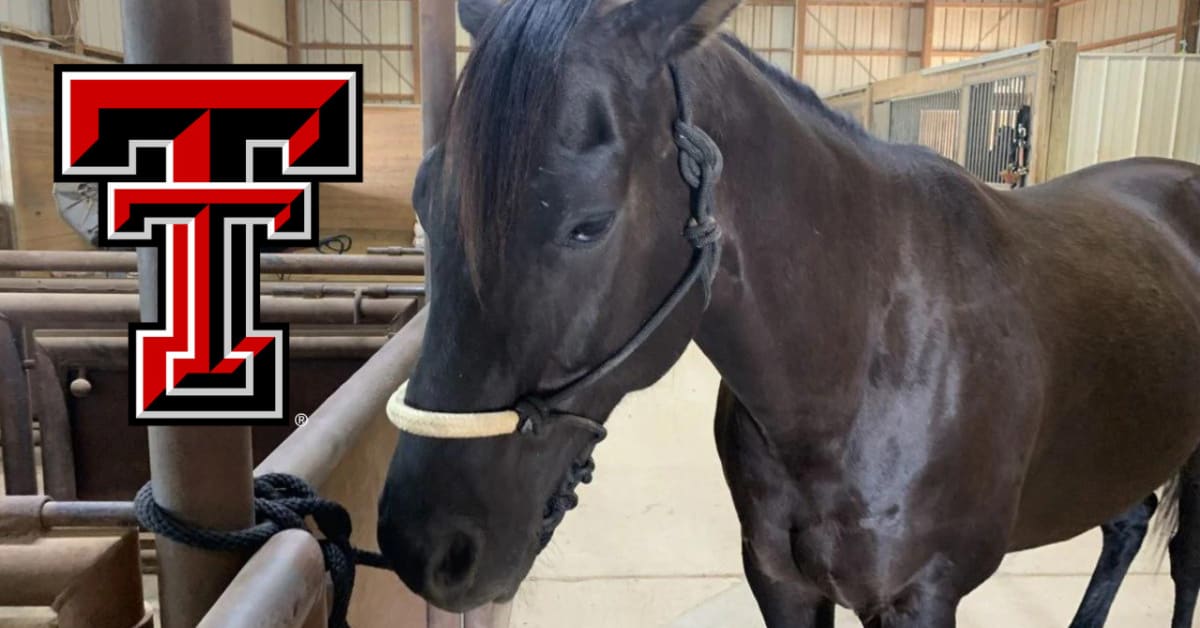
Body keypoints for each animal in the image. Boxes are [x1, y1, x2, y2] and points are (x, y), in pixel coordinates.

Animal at [375, 0, 1200, 625]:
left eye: (589, 224)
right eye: (423, 198)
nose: (425, 545)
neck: (859, 359)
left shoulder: (920, 597)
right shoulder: (781, 581)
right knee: (1128, 521)